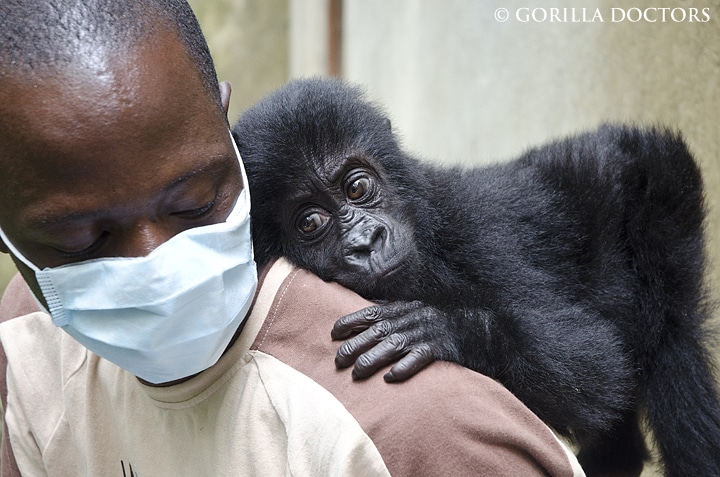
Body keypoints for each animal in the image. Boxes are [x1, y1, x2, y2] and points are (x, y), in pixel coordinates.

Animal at [232, 77, 720, 476]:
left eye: (356, 187)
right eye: (310, 222)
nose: (365, 242)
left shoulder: (479, 235)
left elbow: (597, 366)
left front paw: (449, 328)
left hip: (661, 189)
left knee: (671, 341)